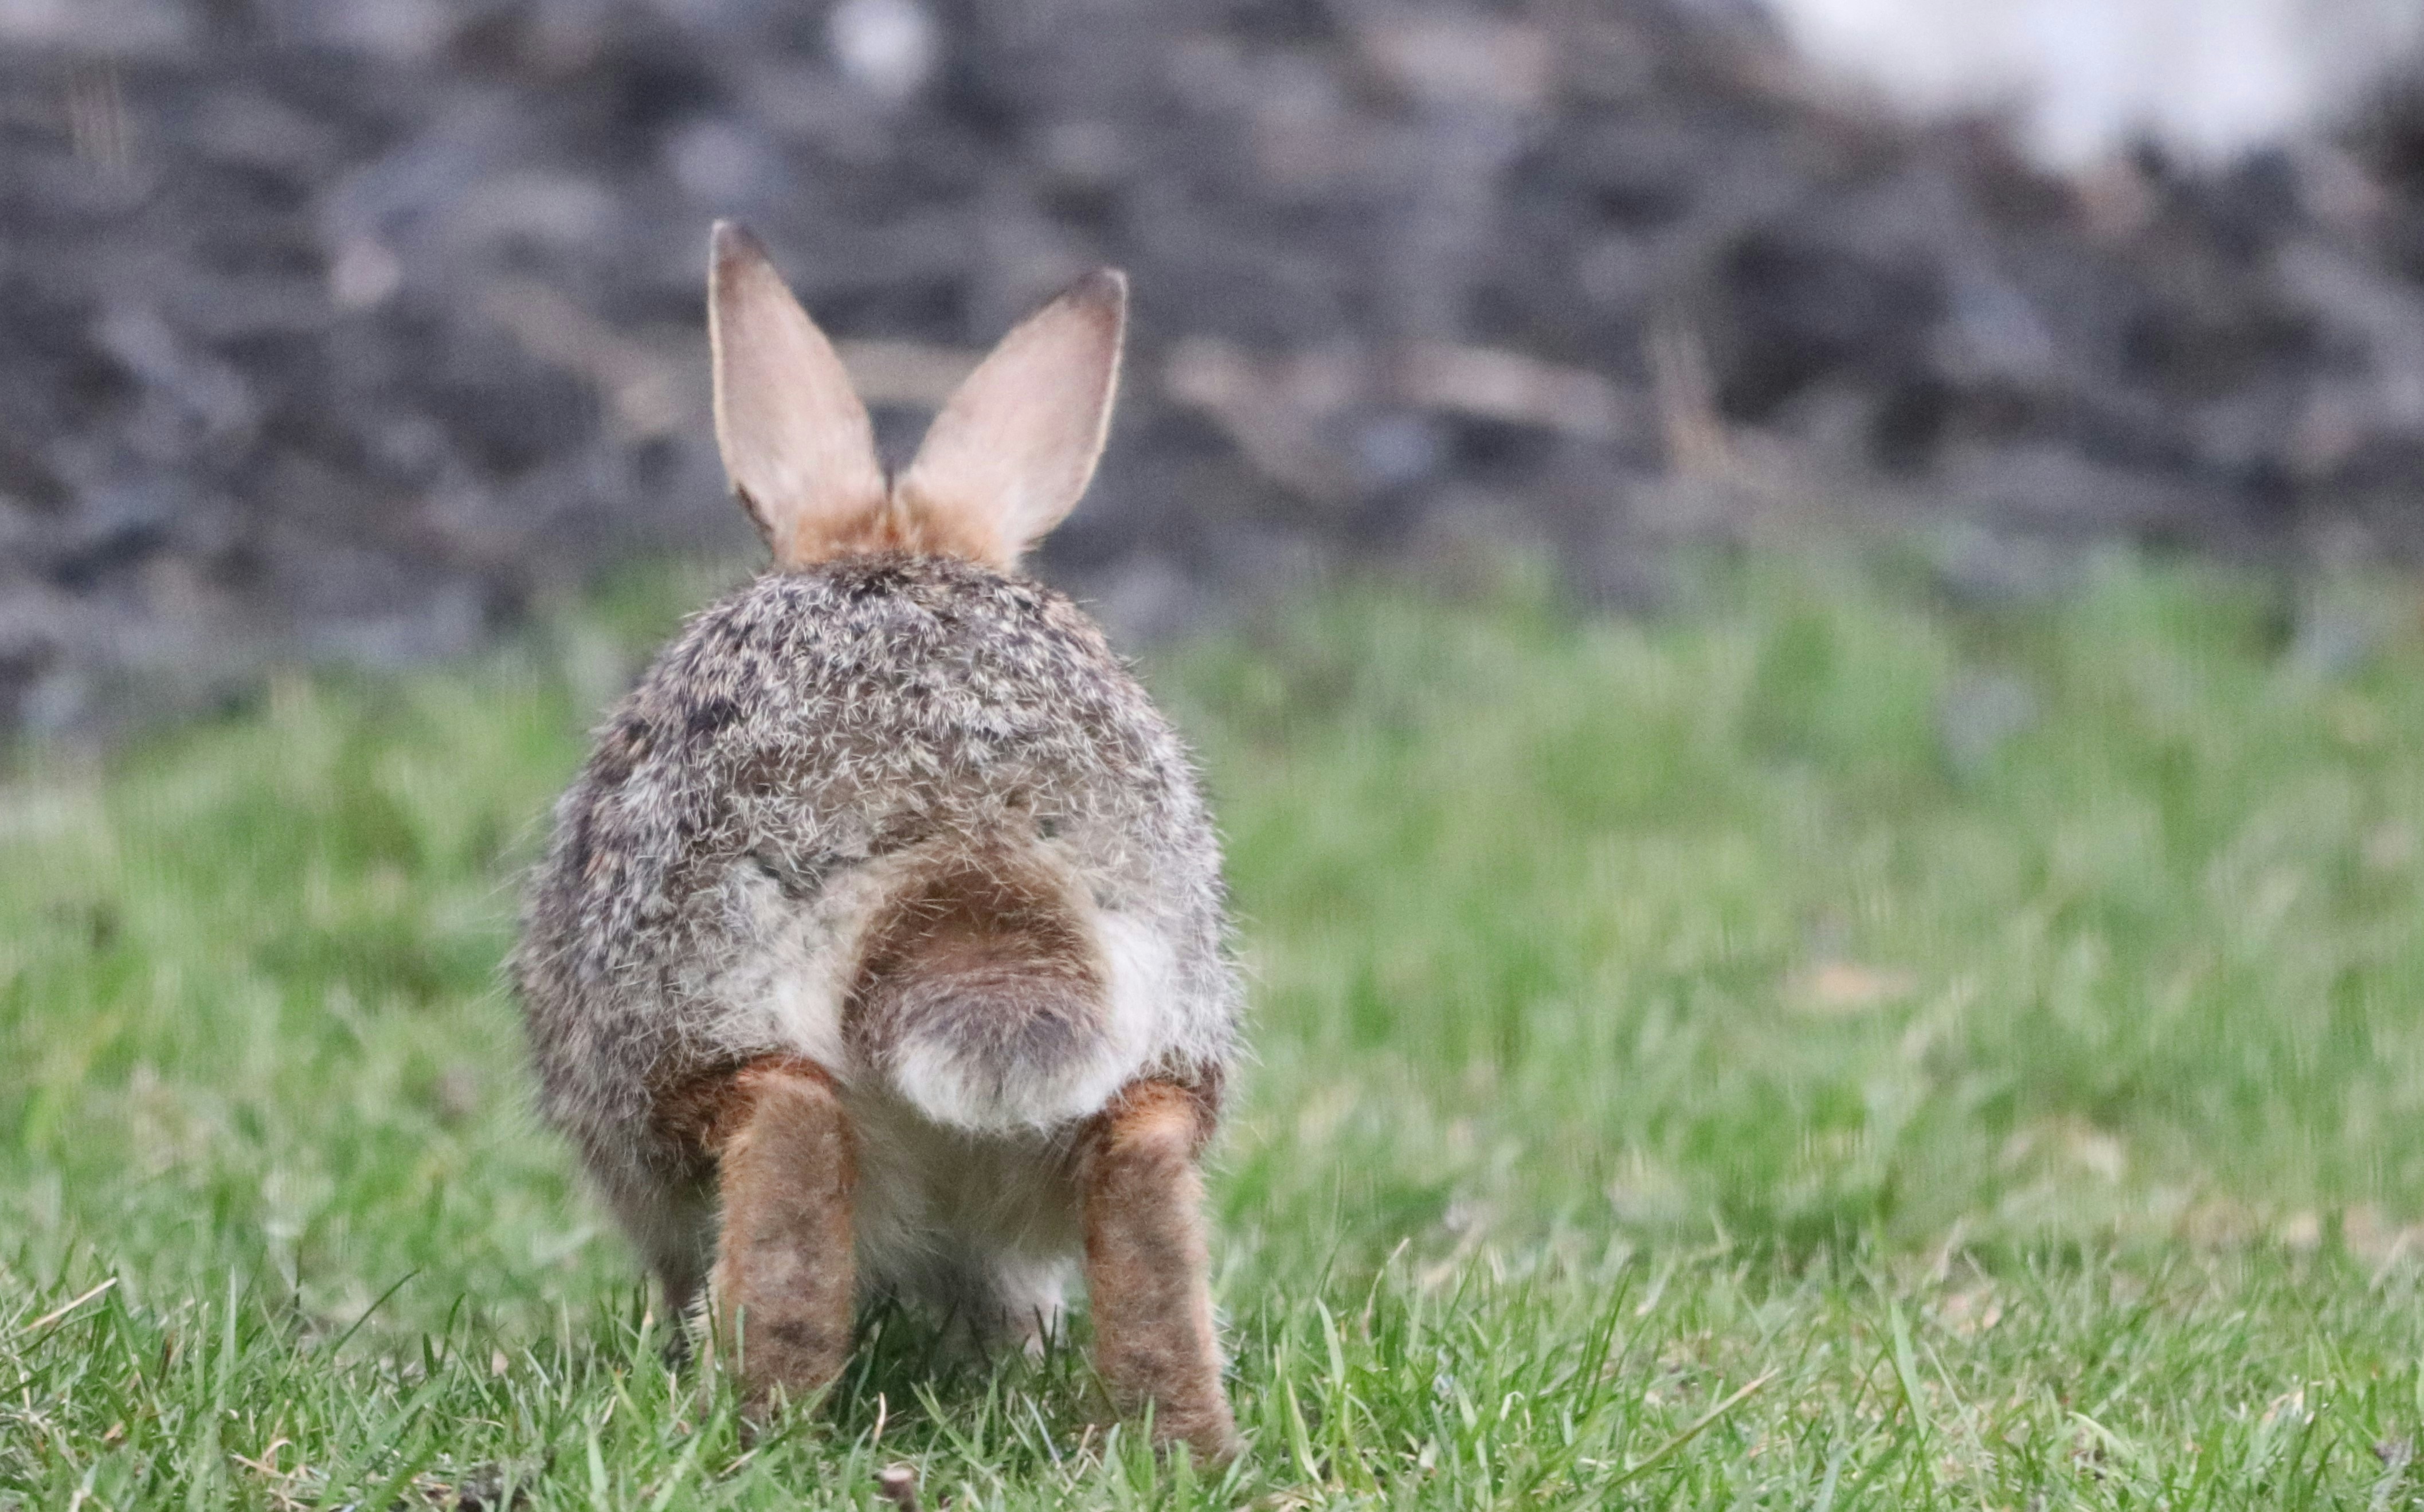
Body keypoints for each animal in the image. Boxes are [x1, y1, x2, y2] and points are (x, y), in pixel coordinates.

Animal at [512, 223, 1243, 1461]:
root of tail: (964, 848)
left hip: (698, 1028)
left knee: (790, 1131)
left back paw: (736, 1417)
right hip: (1154, 1045)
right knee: (1141, 1159)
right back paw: (1178, 1442)